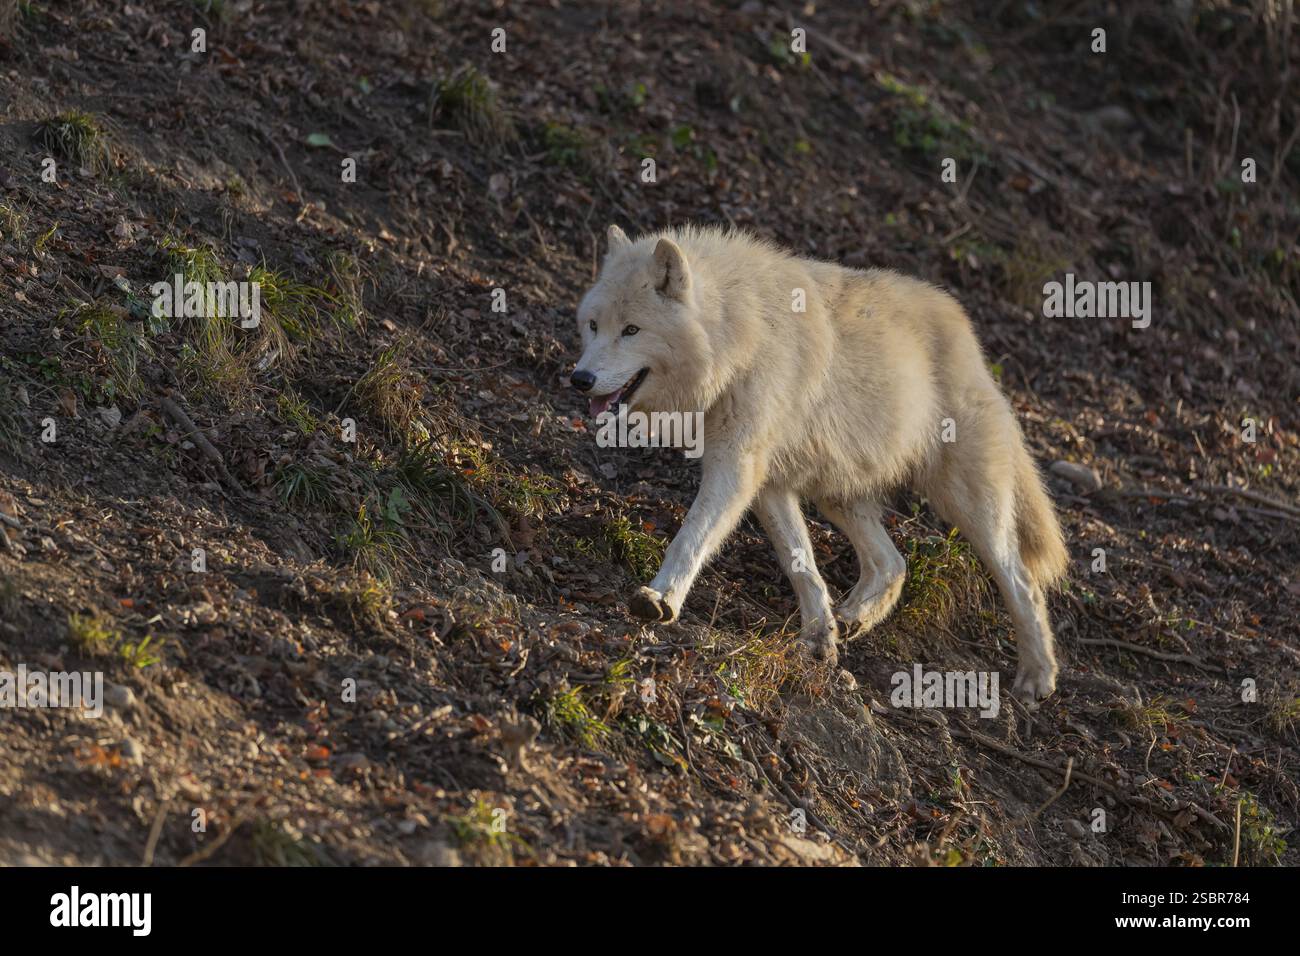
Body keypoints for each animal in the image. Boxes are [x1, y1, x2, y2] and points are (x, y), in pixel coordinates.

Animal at [570, 224, 1069, 701]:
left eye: (631, 330)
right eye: (593, 326)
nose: (580, 378)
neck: (736, 334)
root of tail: (973, 342)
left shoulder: (736, 467)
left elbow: (690, 538)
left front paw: (661, 598)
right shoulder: (766, 482)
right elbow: (801, 564)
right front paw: (819, 639)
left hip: (967, 503)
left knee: (1022, 582)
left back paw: (1038, 678)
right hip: (838, 494)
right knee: (893, 564)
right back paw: (851, 619)